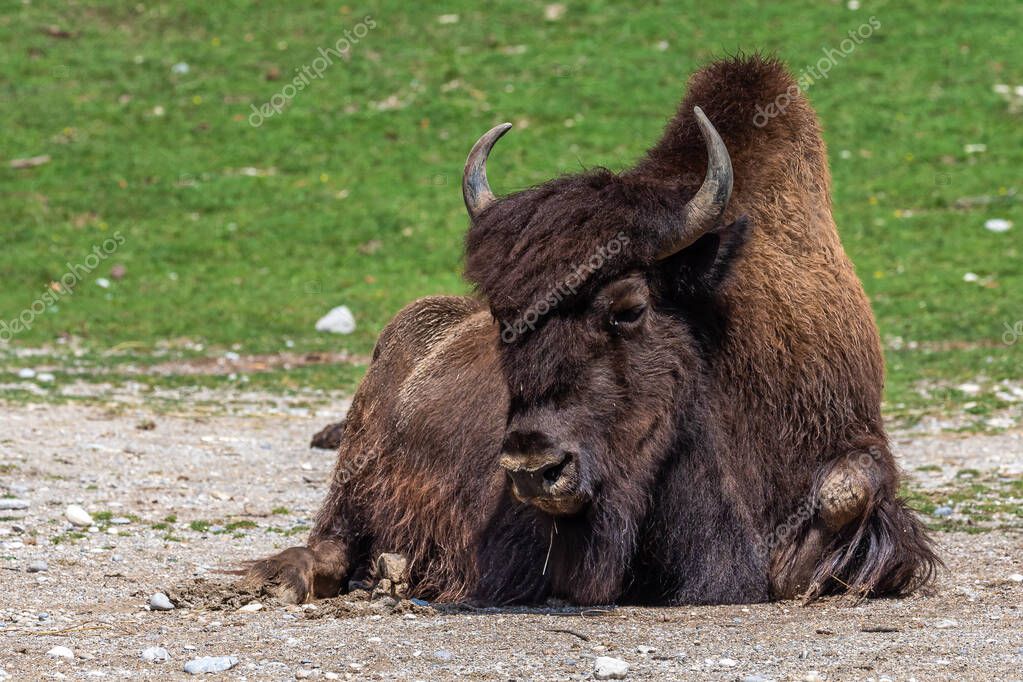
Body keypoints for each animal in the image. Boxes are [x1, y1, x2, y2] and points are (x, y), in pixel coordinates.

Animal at [243, 56, 938, 606]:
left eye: (628, 308)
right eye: (503, 315)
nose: (534, 468)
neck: (714, 329)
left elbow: (848, 490)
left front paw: (801, 566)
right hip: (355, 469)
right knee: (331, 540)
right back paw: (290, 578)